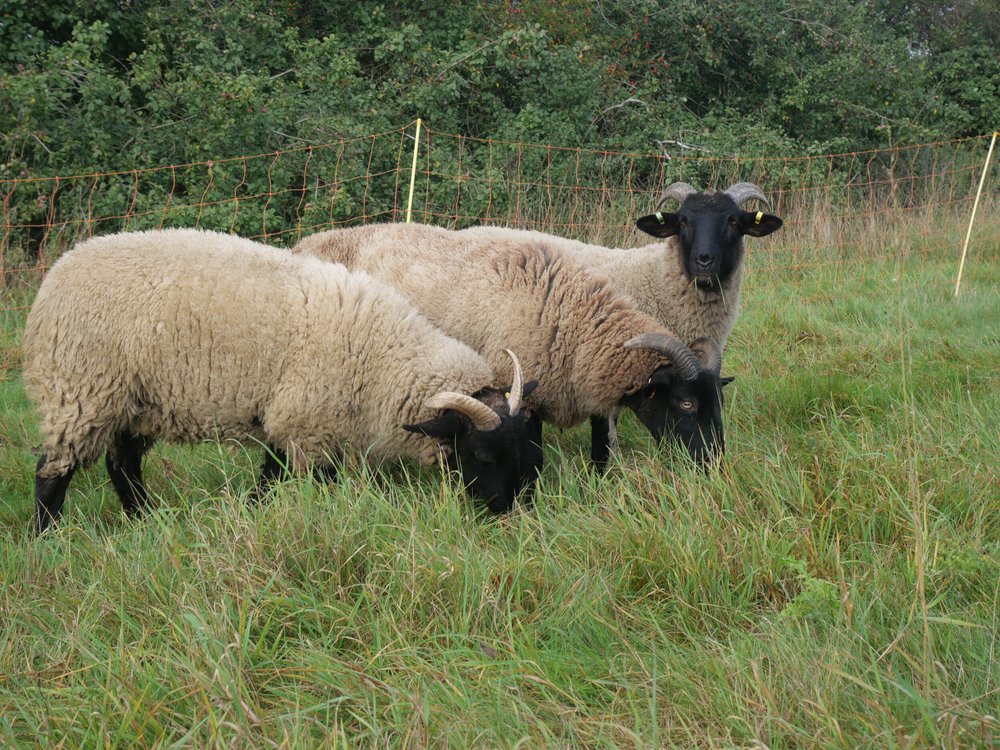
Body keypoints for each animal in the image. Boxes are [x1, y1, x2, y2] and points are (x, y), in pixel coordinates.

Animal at [23, 228, 539, 532]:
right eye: (482, 454)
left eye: (523, 447)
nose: (505, 511)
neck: (382, 357)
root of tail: (59, 271)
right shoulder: (306, 422)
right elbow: (298, 482)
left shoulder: (289, 420)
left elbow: (270, 475)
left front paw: (253, 513)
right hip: (82, 390)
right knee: (53, 470)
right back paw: (48, 536)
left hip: (135, 399)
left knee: (123, 464)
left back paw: (145, 520)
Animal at [293, 222, 728, 470]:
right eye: (686, 403)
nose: (715, 464)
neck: (566, 315)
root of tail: (305, 243)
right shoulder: (517, 391)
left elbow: (601, 448)